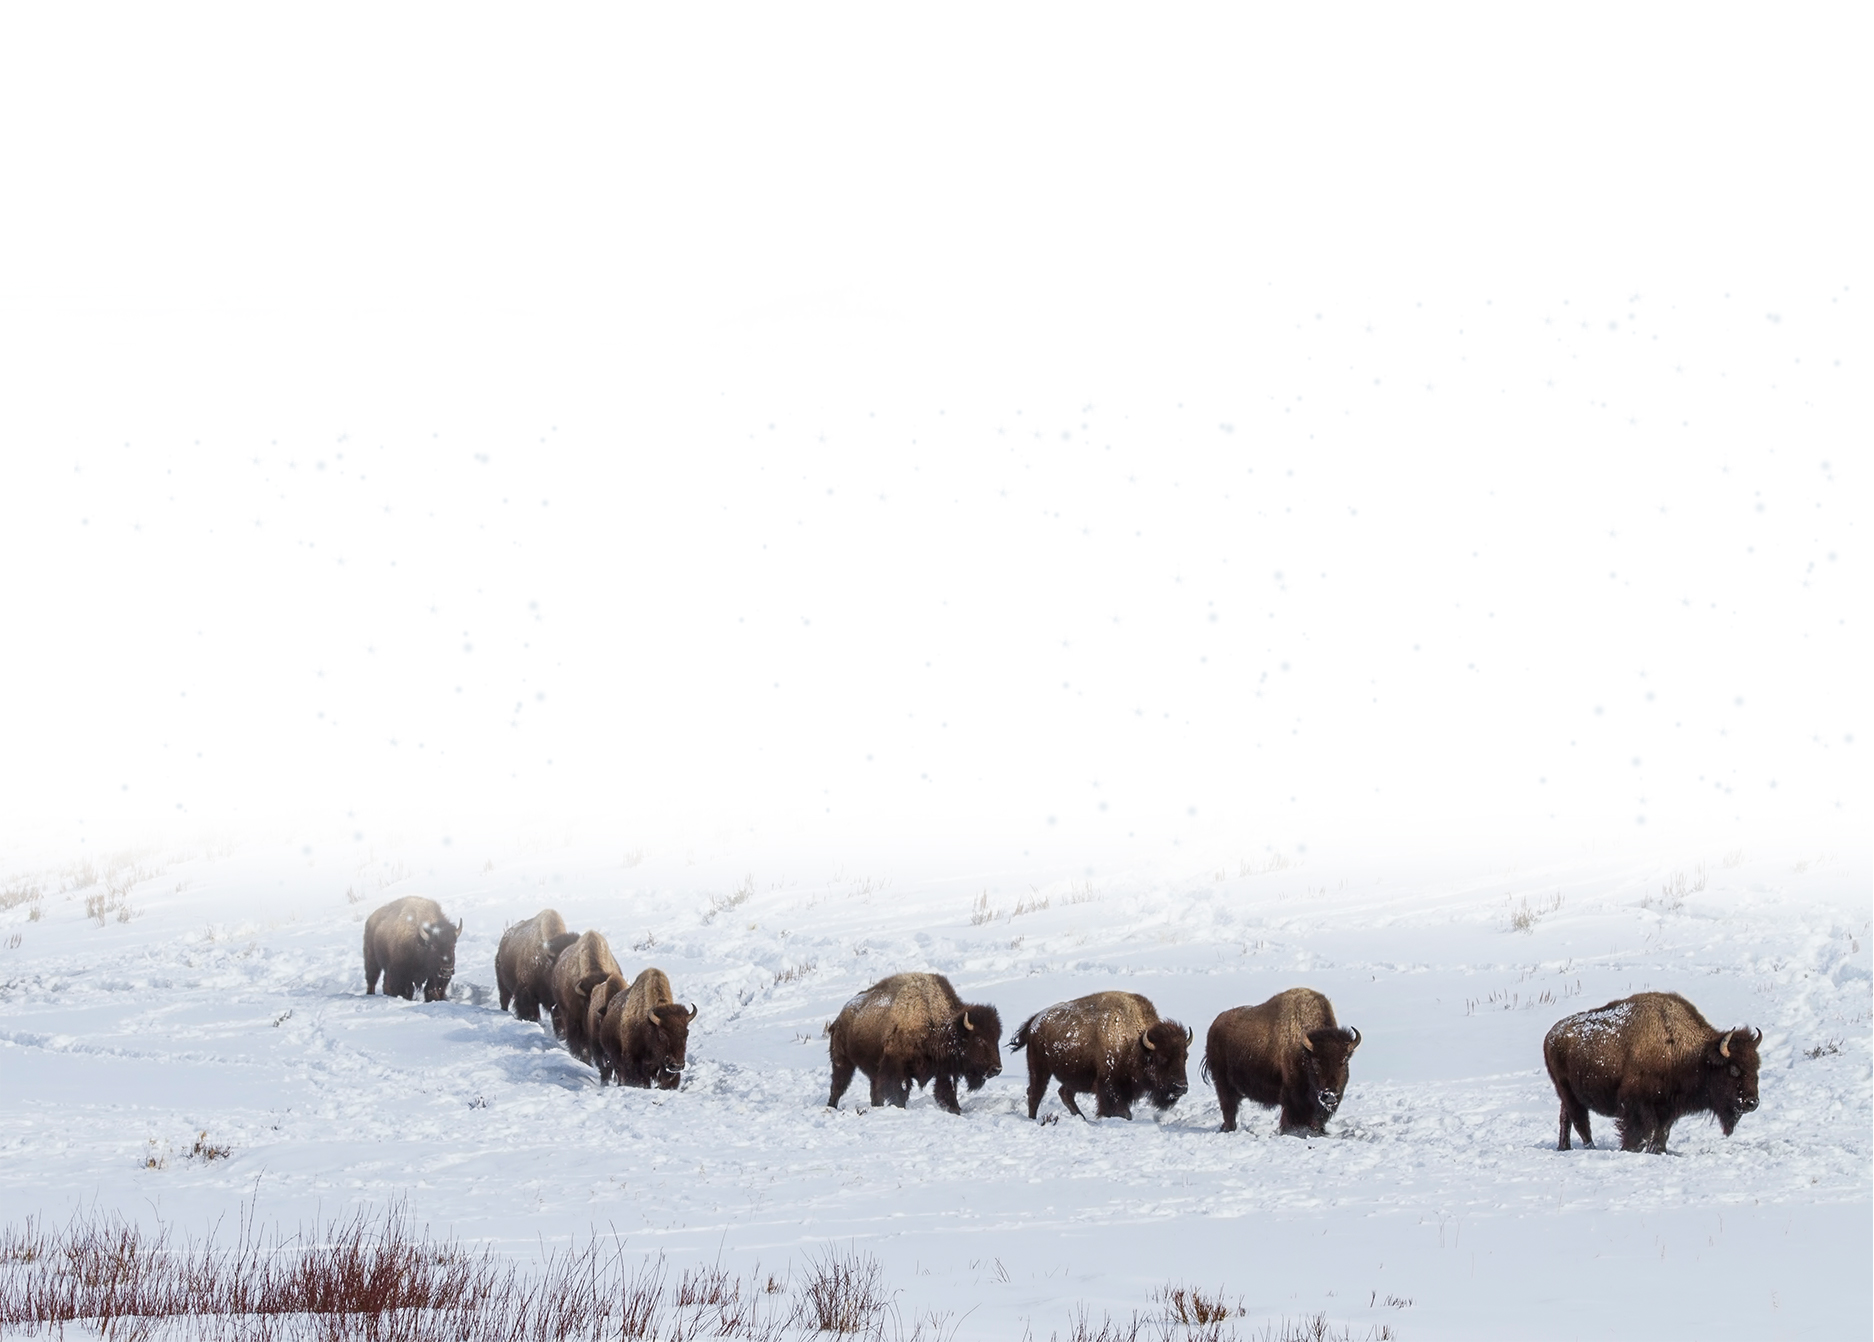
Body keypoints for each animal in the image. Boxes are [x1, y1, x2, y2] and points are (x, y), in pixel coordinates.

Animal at [826, 972, 1002, 1113]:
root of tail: (840, 1017)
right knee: (838, 1086)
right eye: (979, 1039)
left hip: (872, 1069)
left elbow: (948, 1093)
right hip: (842, 1061)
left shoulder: (944, 1071)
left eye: (996, 1038)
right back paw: (831, 1107)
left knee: (874, 1091)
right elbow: (901, 1092)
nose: (997, 1069)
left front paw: (956, 1111)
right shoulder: (897, 1068)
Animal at [1010, 991, 1191, 1121]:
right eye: (1161, 1058)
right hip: (1039, 1069)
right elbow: (1121, 1112)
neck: (1136, 1042)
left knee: (1064, 1093)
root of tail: (1035, 1021)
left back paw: (1081, 1118)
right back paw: (1033, 1119)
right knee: (1035, 1093)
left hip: (1076, 1076)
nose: (1181, 1087)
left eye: (1185, 1057)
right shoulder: (1109, 1087)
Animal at [1203, 988, 1360, 1135]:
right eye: (1316, 1061)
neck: (1304, 1051)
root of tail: (1214, 1026)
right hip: (1223, 1082)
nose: (1330, 1096)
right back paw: (1228, 1128)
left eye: (1344, 1060)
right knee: (1229, 1107)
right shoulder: (1293, 1096)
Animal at [1544, 991, 1761, 1153]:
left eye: (1756, 1067)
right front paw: (1631, 1149)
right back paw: (1589, 1148)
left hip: (1568, 1095)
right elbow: (1643, 1132)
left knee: (1567, 1119)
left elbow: (1661, 1133)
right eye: (1733, 1069)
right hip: (1567, 1092)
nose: (1752, 1103)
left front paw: (1659, 1151)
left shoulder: (1667, 1108)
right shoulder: (1637, 1104)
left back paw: (1564, 1147)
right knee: (1580, 1122)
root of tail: (1551, 1034)